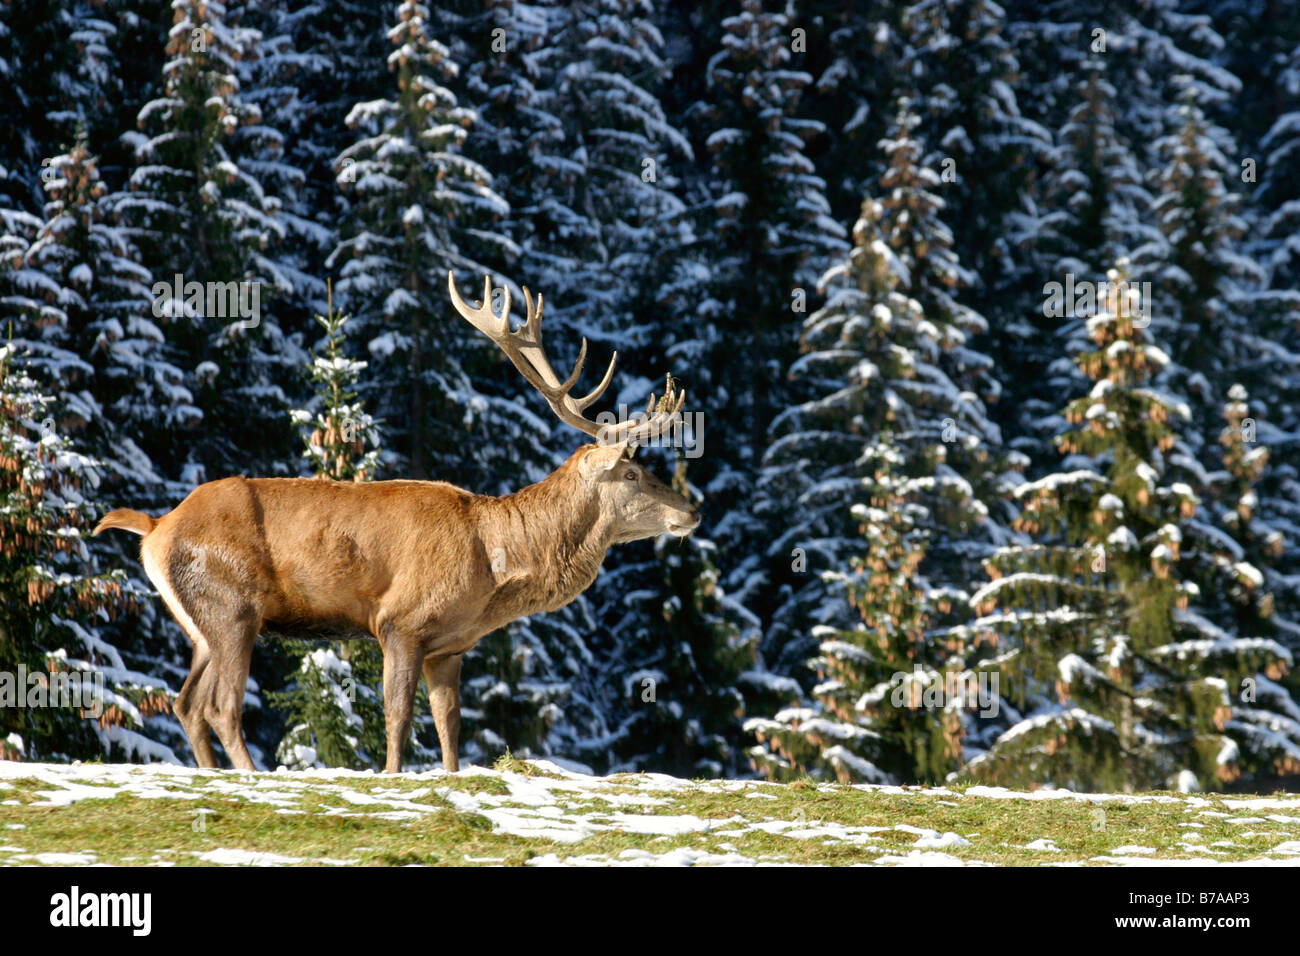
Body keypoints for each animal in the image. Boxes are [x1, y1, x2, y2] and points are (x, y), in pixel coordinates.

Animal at [94, 272, 700, 773]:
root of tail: (156, 527)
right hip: (231, 605)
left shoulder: (449, 648)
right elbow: (398, 721)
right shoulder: (399, 622)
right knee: (220, 707)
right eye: (631, 472)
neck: (494, 565)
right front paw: (391, 778)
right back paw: (250, 776)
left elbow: (451, 728)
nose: (692, 510)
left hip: (200, 621)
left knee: (187, 705)